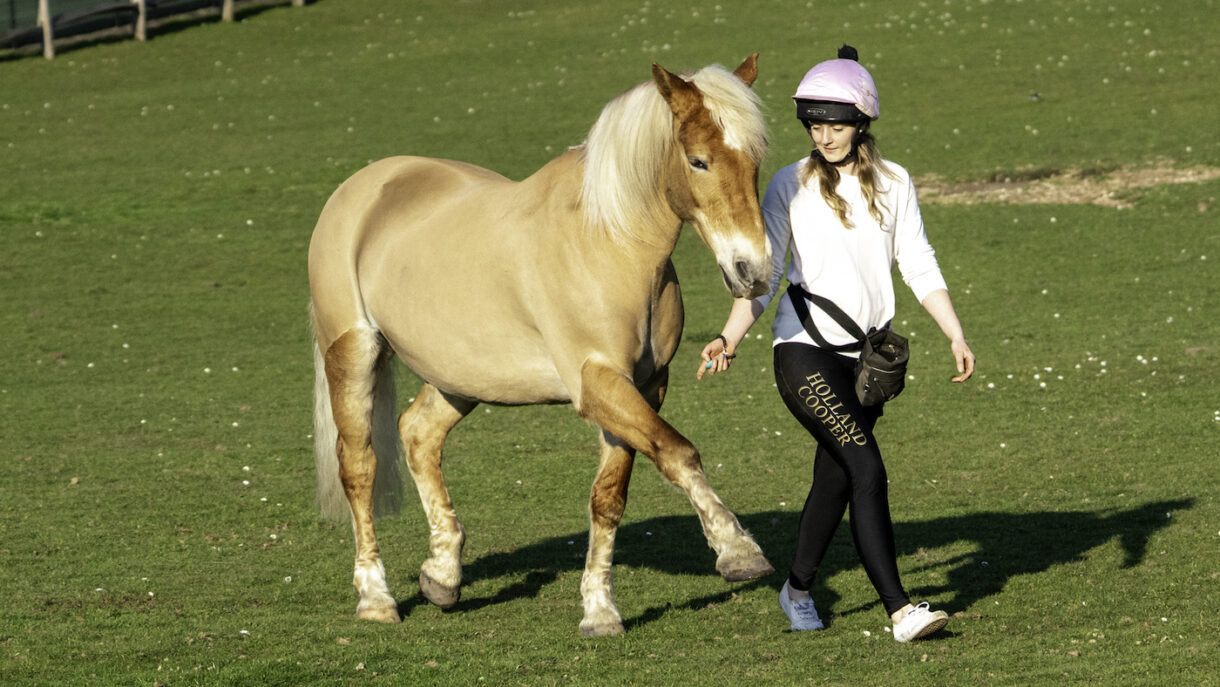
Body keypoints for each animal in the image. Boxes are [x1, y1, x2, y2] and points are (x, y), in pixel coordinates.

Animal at [308, 54, 774, 636]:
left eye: (755, 159)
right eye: (699, 161)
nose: (753, 272)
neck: (606, 243)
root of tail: (361, 188)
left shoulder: (644, 387)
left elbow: (609, 498)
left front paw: (599, 609)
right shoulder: (597, 383)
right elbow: (678, 452)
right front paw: (738, 551)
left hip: (460, 376)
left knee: (418, 434)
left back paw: (443, 574)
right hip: (353, 355)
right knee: (359, 466)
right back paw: (376, 597)